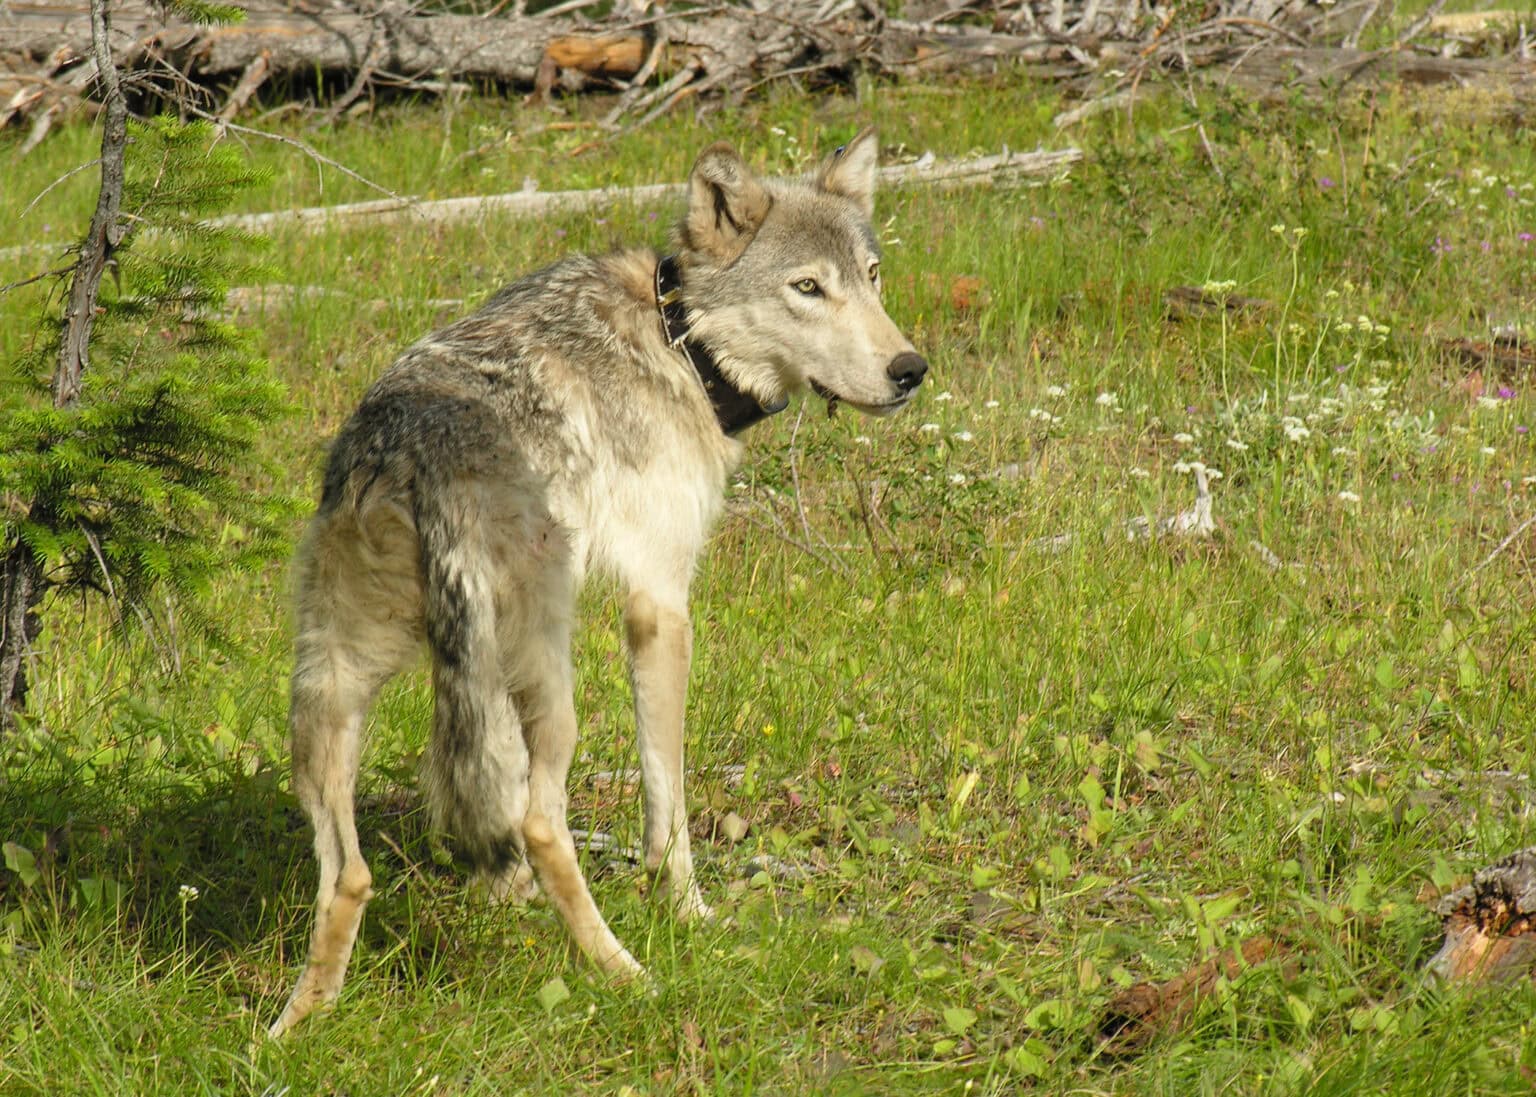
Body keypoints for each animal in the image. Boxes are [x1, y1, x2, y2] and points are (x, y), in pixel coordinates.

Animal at [268, 128, 927, 1037]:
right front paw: (689, 913)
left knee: (350, 874)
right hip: (549, 675)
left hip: (333, 691)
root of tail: (416, 446)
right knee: (540, 822)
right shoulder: (660, 605)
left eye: (871, 276)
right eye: (806, 287)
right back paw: (627, 973)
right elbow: (668, 798)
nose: (911, 369)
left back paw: (296, 1025)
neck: (680, 341)